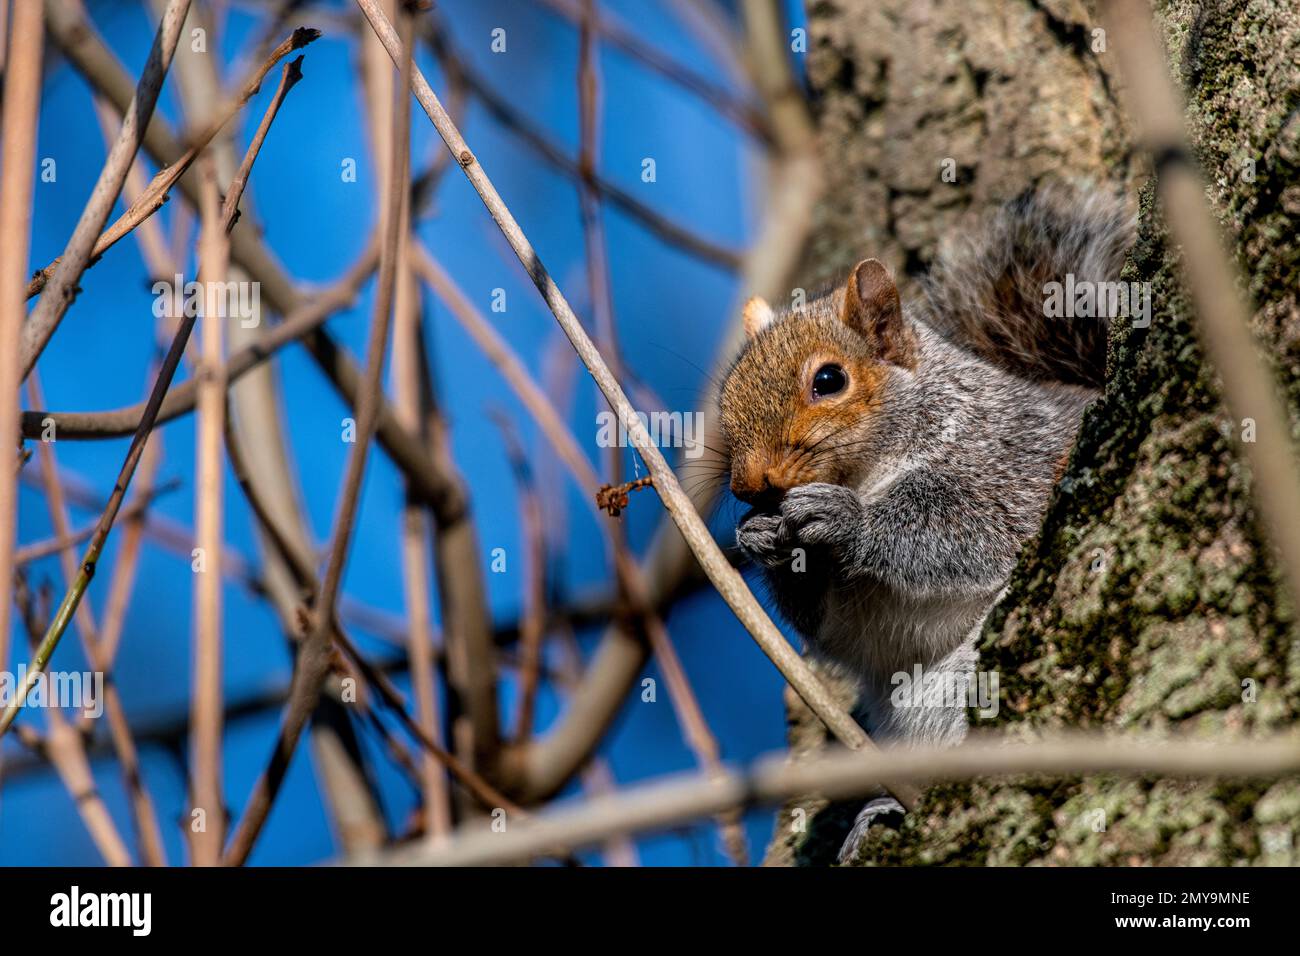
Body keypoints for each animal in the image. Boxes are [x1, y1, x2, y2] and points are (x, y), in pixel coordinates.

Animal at [718, 186, 1133, 858]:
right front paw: (762, 540)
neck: (870, 472)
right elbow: (834, 630)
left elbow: (963, 533)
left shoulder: (1008, 470)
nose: (747, 486)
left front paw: (849, 522)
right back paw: (883, 808)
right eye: (724, 398)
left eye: (829, 379)